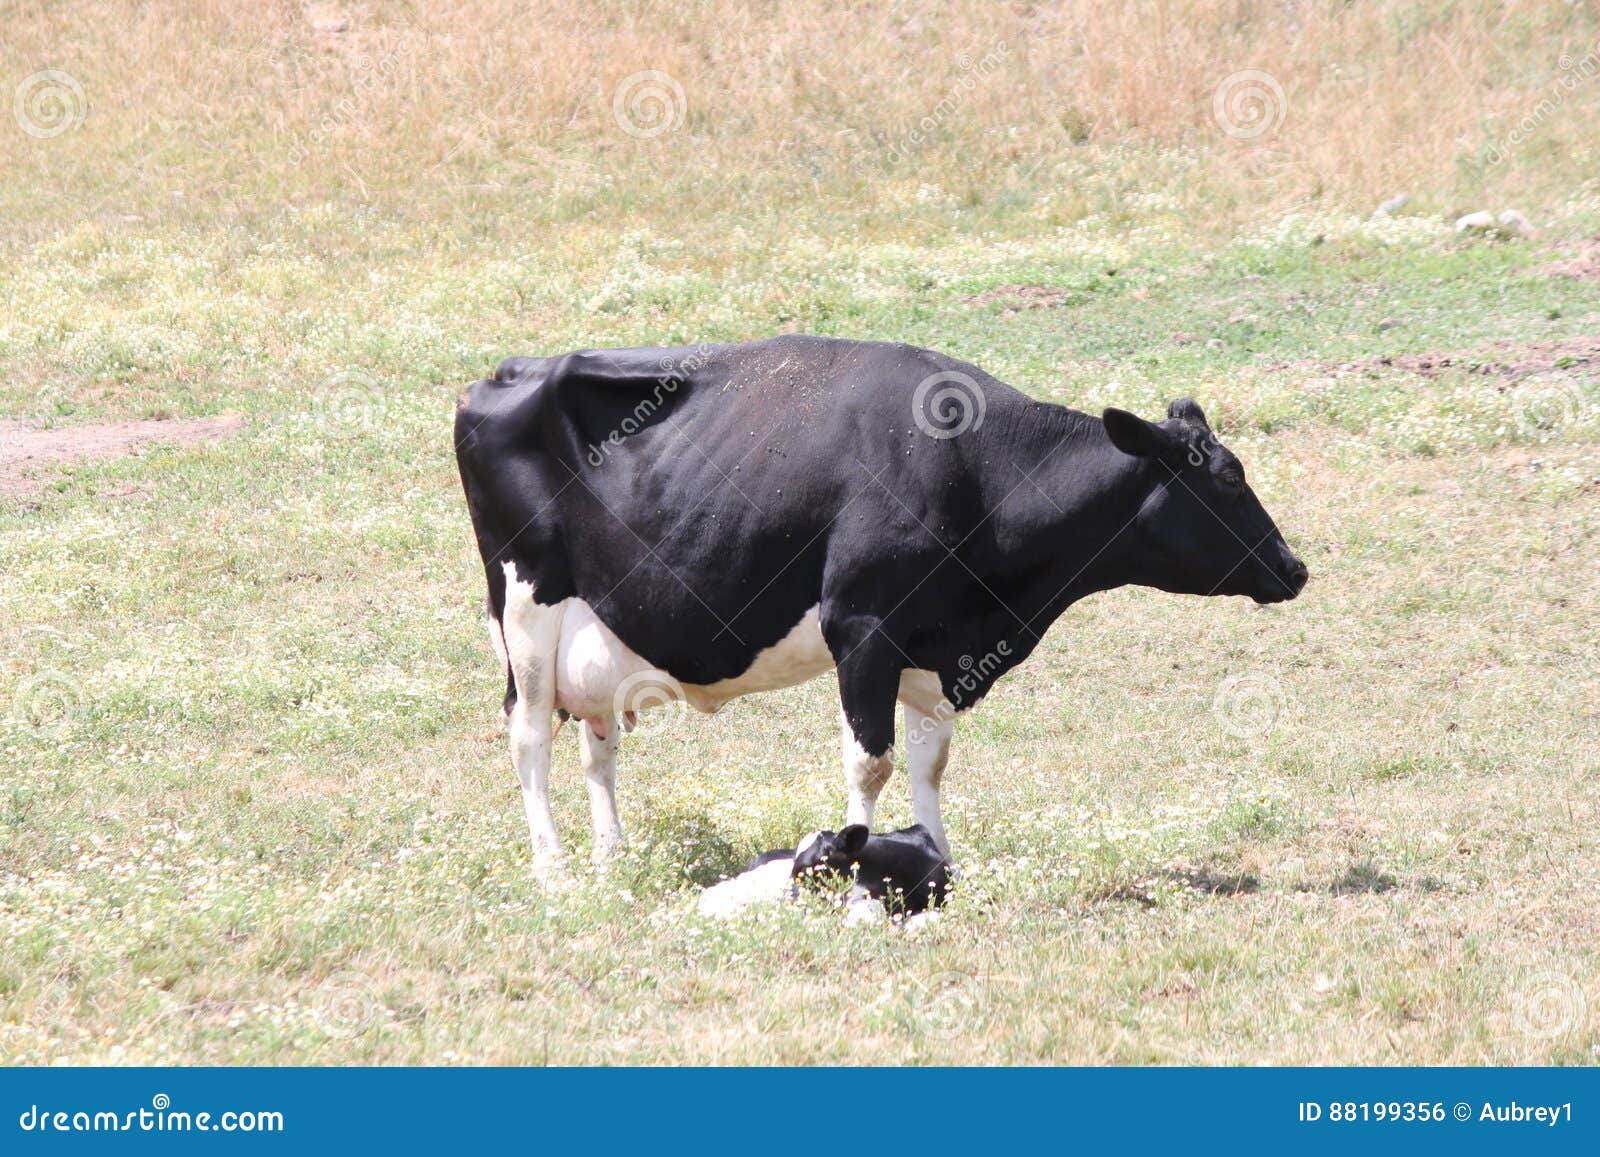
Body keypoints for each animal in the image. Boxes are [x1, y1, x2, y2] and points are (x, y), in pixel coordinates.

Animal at [454, 334, 1307, 873]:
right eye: (1229, 477)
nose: (1293, 567)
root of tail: (504, 372)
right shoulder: (863, 627)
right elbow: (871, 760)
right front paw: (852, 859)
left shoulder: (937, 649)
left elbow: (930, 762)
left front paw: (936, 858)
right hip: (526, 608)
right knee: (529, 736)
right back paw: (554, 865)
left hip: (599, 633)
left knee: (598, 743)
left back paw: (613, 853)